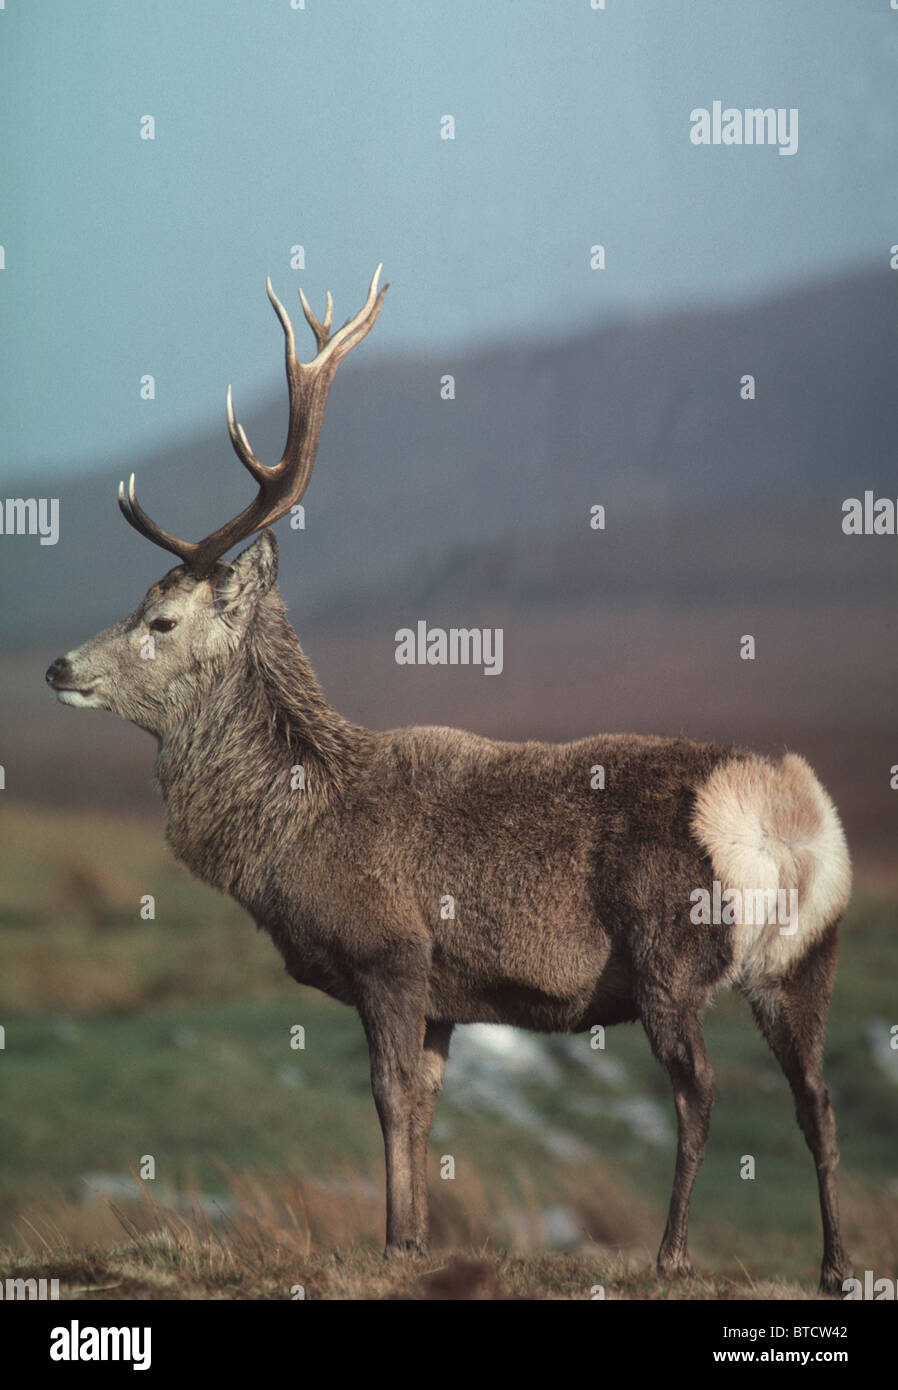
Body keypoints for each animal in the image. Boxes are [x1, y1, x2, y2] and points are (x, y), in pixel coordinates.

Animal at [46, 266, 852, 1293]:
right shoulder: (444, 992)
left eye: (160, 619)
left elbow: (390, 1099)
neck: (293, 831)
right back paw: (835, 1264)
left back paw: (671, 1252)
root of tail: (790, 818)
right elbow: (427, 1104)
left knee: (701, 1091)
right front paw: (421, 1236)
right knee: (816, 1098)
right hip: (804, 962)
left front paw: (395, 1241)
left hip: (670, 954)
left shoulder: (390, 950)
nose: (56, 667)